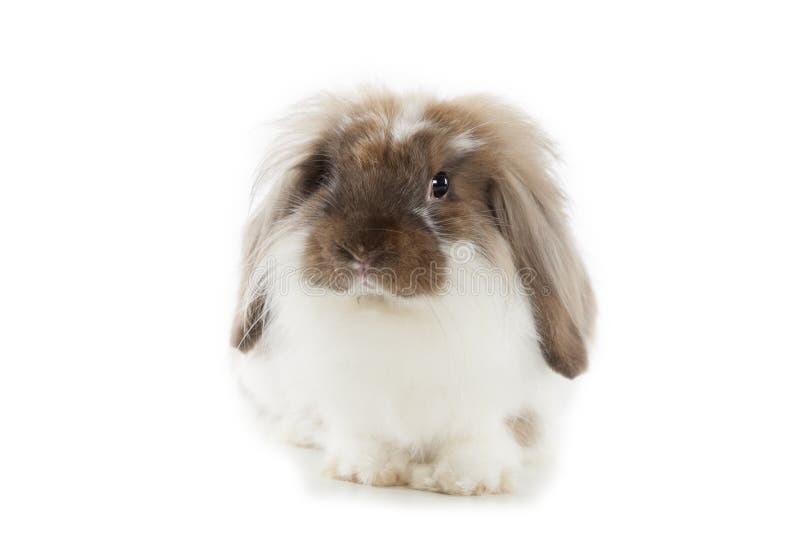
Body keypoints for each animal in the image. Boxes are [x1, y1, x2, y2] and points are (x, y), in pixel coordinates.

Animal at [230, 88, 595, 495]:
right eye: (326, 179)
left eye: (441, 184)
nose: (361, 250)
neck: (394, 315)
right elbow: (367, 437)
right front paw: (366, 470)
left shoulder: (493, 408)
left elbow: (479, 439)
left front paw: (464, 480)